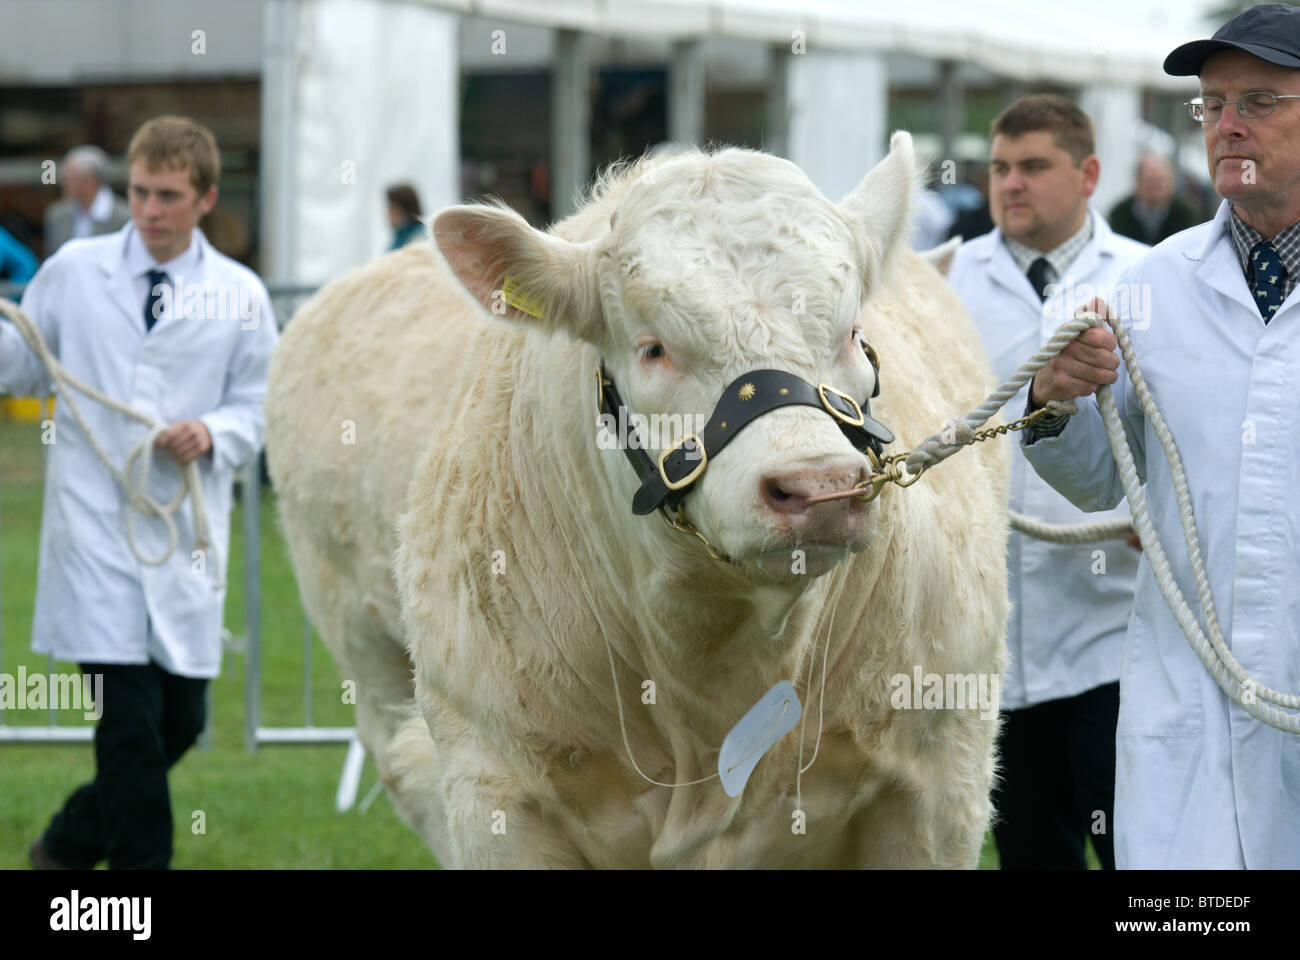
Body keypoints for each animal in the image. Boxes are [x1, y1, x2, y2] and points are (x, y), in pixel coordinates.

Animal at [265, 132, 1010, 868]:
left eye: (853, 333)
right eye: (653, 348)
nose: (820, 486)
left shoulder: (941, 779)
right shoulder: (494, 788)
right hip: (372, 668)